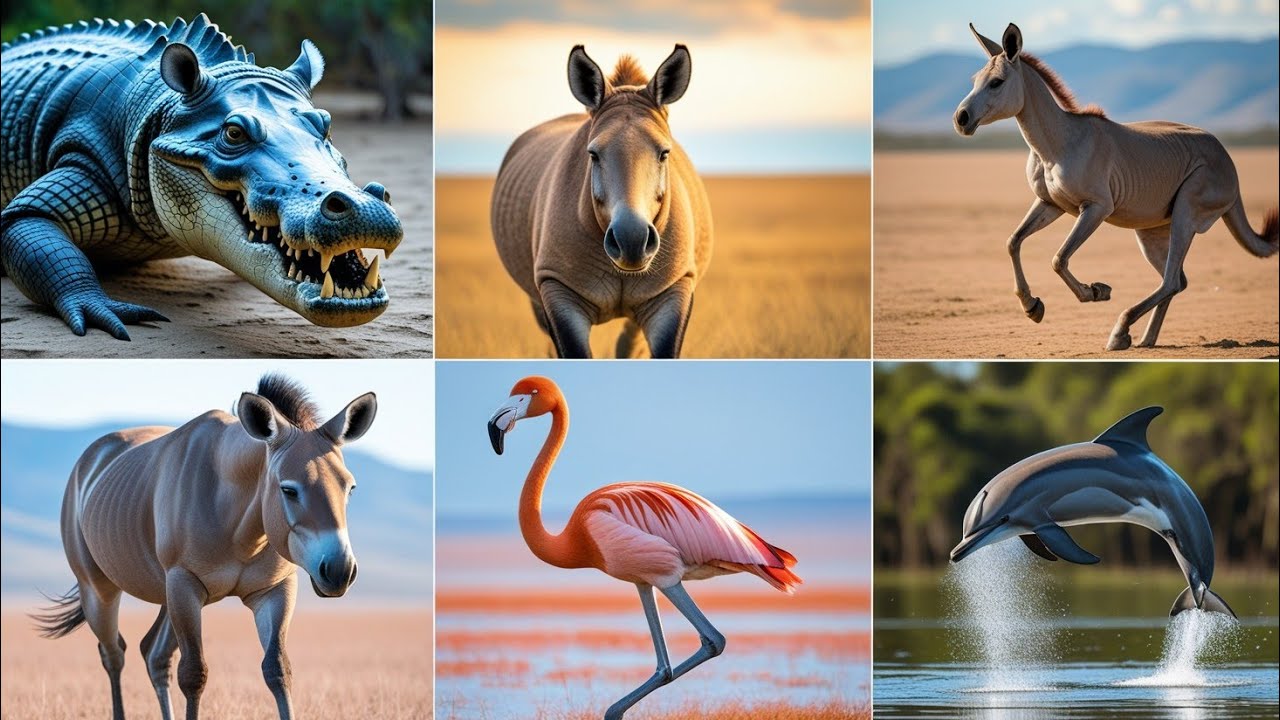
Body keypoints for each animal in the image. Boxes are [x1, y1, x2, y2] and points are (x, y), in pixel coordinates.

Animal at [34, 374, 377, 720]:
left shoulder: (274, 590)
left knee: (154, 654)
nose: (339, 570)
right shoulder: (184, 586)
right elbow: (194, 673)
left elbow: (278, 669)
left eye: (349, 487)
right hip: (100, 590)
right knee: (113, 654)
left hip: (165, 597)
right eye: (288, 489)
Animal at [955, 23, 1278, 350]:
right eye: (974, 80)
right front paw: (1032, 306)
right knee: (1176, 280)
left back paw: (1120, 331)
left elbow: (1059, 259)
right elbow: (1013, 242)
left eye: (996, 82)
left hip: (1186, 214)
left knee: (1171, 280)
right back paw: (1145, 339)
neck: (1059, 143)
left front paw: (1096, 291)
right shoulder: (1051, 205)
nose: (961, 118)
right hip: (1151, 232)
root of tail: (1229, 164)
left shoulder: (1095, 208)